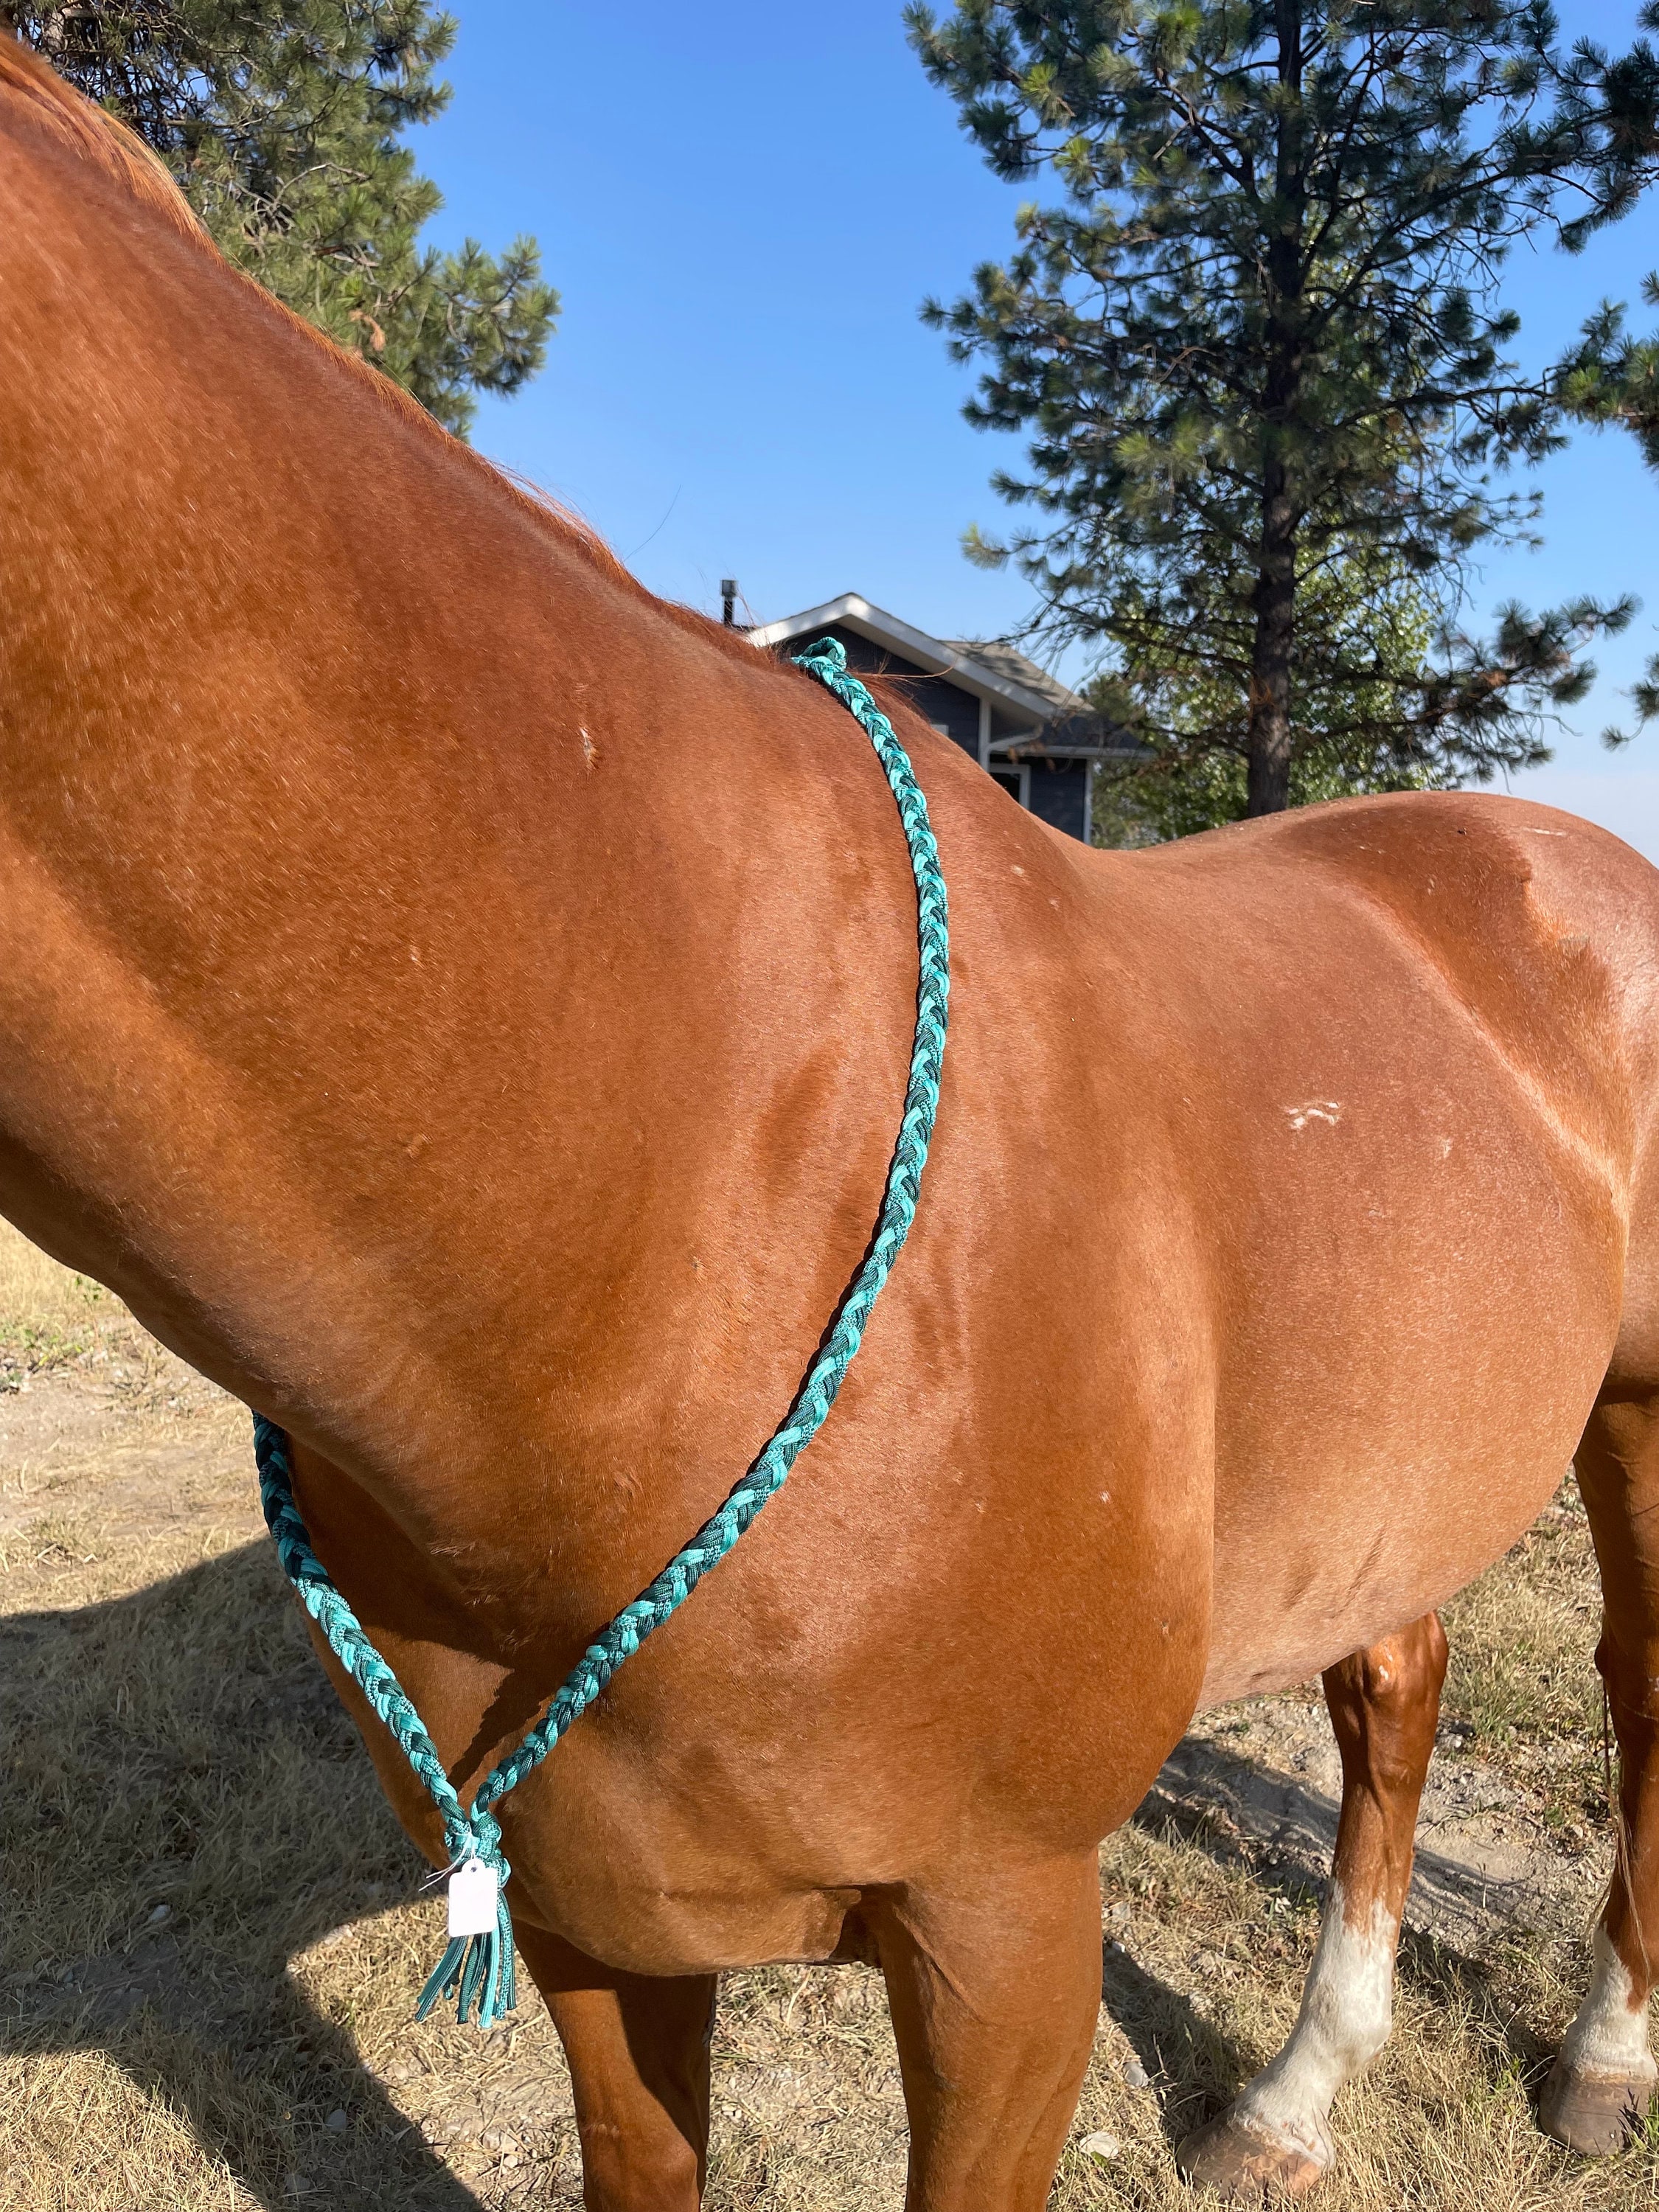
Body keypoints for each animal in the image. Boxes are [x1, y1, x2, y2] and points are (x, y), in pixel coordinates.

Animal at [4, 38, 1659, 2208]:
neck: (689, 1190)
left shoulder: (1007, 1930)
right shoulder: (588, 1920)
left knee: (1639, 1699)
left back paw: (1604, 2056)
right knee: (1392, 1694)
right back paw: (1299, 2091)